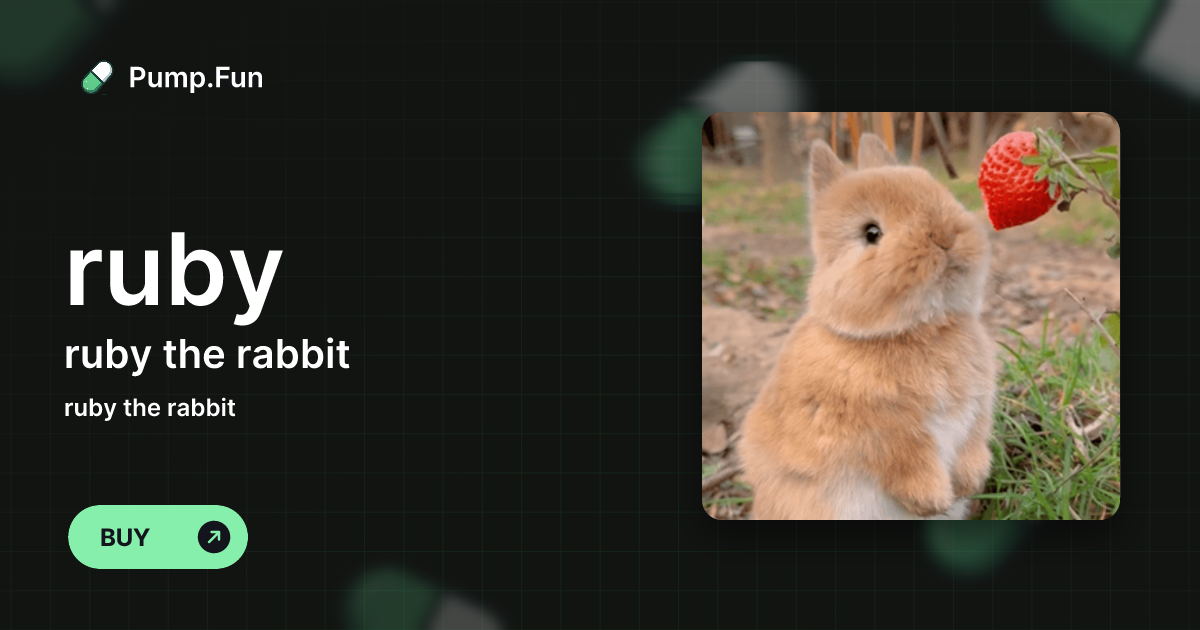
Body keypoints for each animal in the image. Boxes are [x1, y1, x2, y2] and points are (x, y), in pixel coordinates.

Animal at [737, 133, 997, 520]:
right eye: (871, 233)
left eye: (941, 194)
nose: (946, 236)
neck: (921, 330)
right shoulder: (884, 435)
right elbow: (907, 462)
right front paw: (933, 500)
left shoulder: (977, 411)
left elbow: (973, 443)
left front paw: (969, 483)